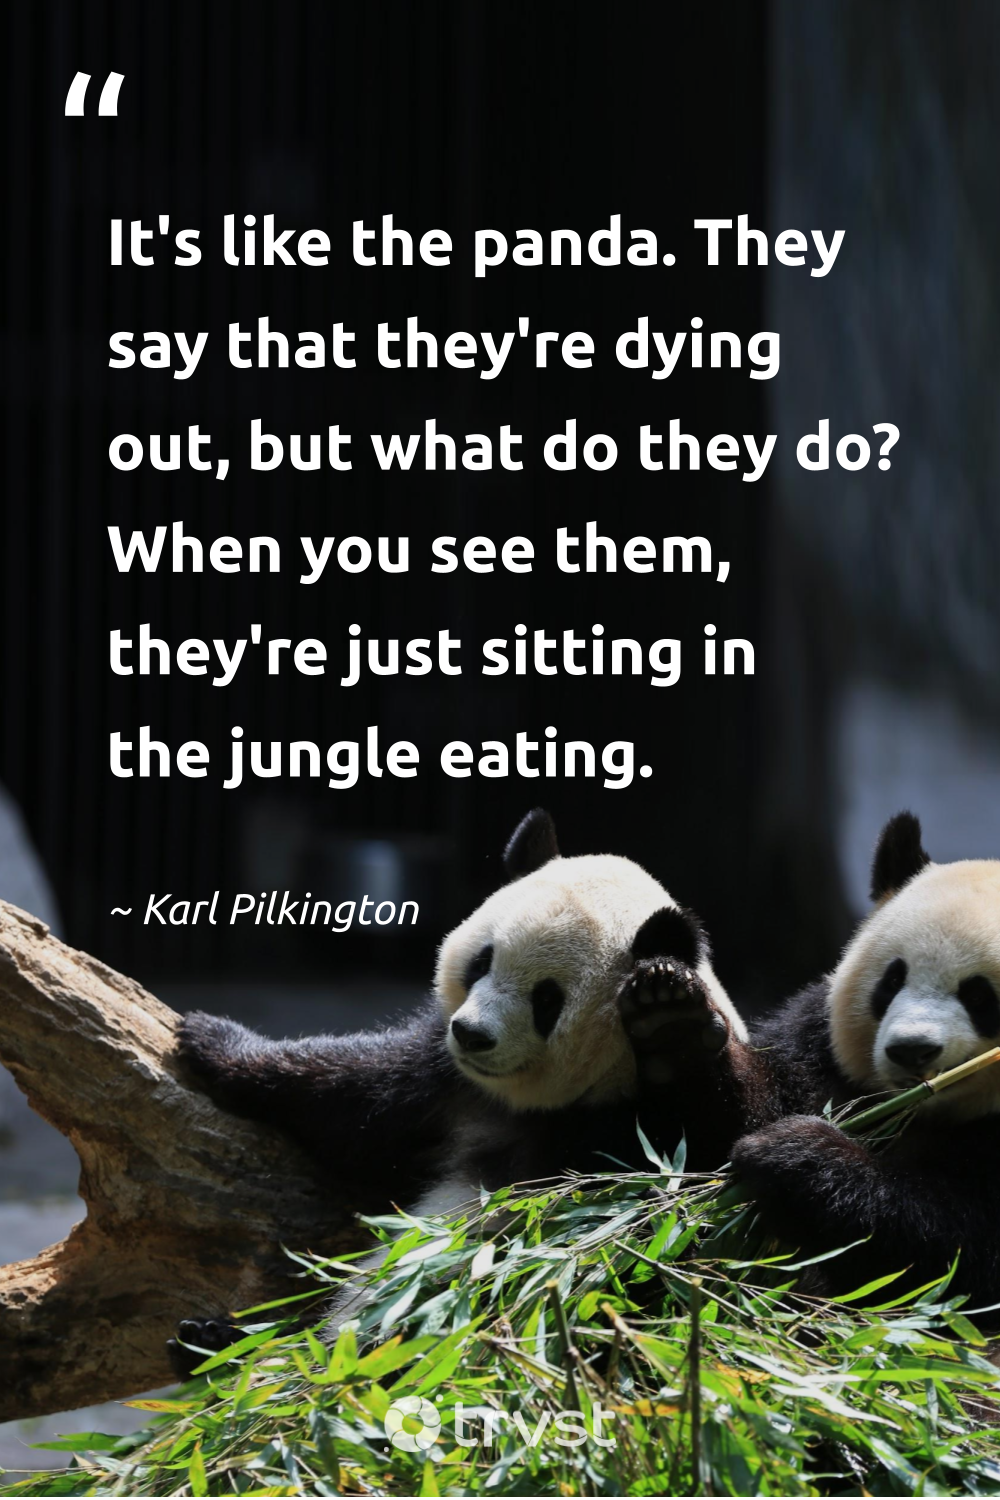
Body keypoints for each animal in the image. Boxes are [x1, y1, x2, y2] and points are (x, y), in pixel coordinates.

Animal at [171, 808, 746, 1365]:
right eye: (482, 962)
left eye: (547, 1000)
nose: (471, 1034)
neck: (548, 1103)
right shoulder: (446, 1085)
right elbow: (348, 1098)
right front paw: (213, 1038)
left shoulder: (637, 1132)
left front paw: (671, 1023)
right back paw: (211, 1342)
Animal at [626, 811, 1000, 1310]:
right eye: (892, 980)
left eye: (980, 996)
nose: (911, 1049)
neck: (920, 1113)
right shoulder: (816, 1048)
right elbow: (711, 1140)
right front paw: (672, 1022)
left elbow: (952, 1259)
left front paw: (796, 1156)